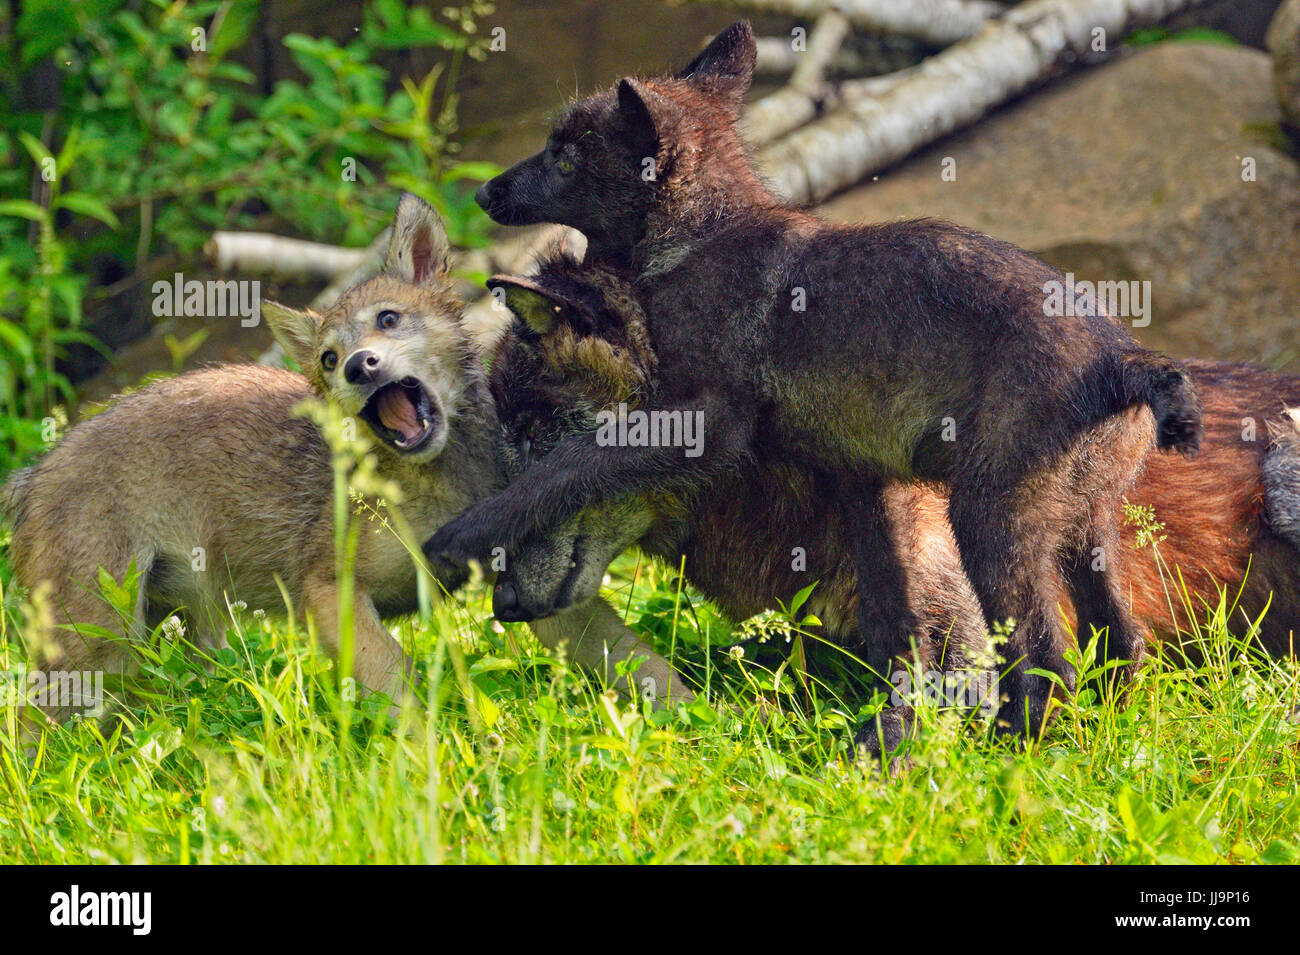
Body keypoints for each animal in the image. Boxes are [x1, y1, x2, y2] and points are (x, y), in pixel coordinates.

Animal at [2, 194, 690, 728]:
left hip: (180, 640)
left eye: (388, 320)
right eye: (329, 359)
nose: (361, 366)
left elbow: (650, 668)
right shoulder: (329, 594)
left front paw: (709, 732)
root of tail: (35, 472)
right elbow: (402, 693)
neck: (435, 487)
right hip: (98, 653)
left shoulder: (537, 594)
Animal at [428, 21, 1203, 738]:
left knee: (1047, 660)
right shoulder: (867, 481)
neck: (700, 240)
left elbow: (566, 471)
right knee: (1121, 644)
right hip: (1083, 529)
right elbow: (897, 623)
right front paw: (893, 735)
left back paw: (1016, 753)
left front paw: (460, 532)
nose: (484, 191)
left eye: (563, 156)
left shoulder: (704, 423)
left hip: (990, 521)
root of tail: (1123, 360)